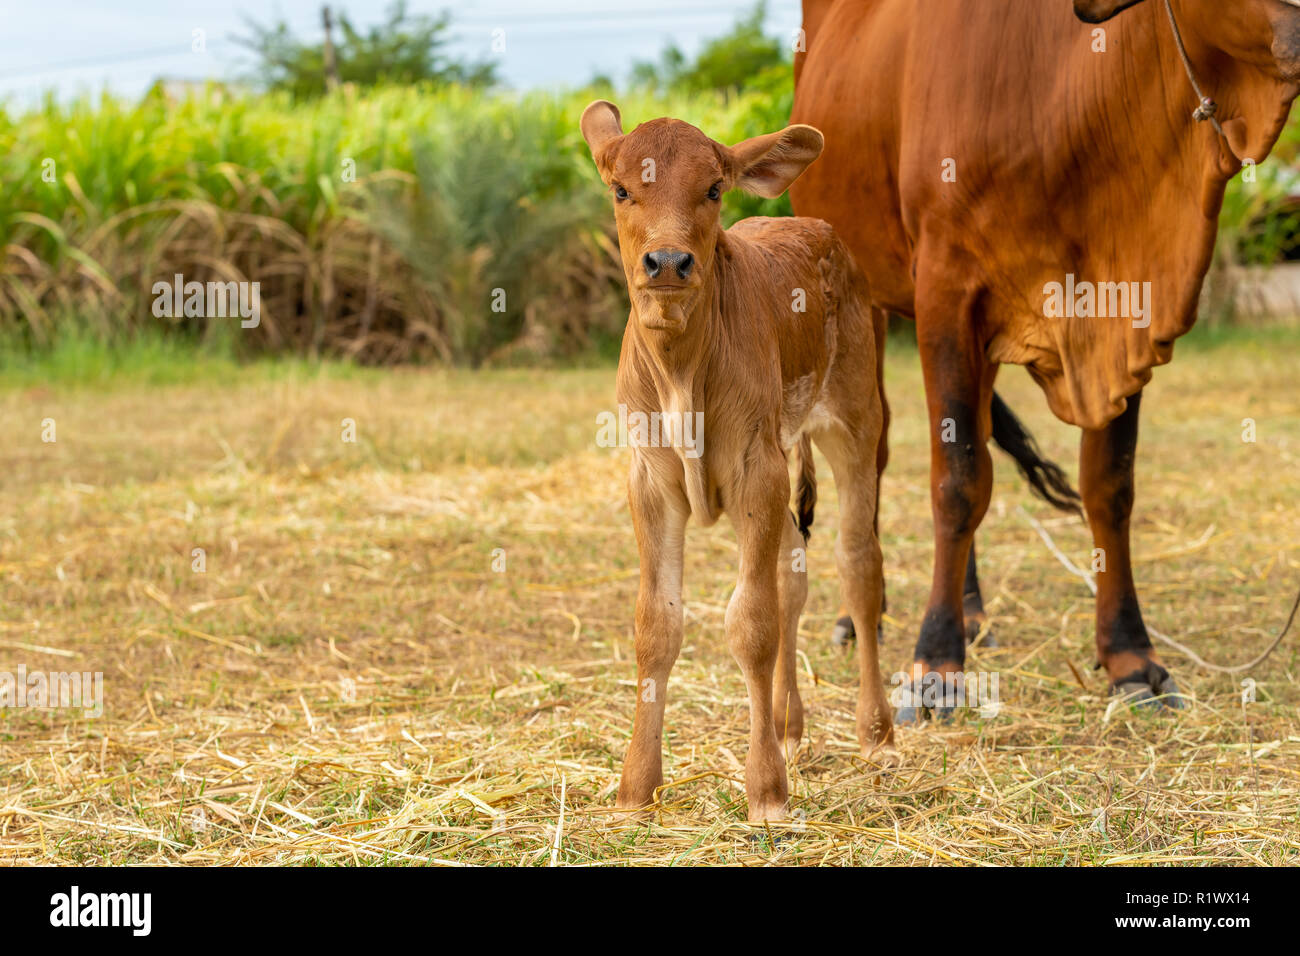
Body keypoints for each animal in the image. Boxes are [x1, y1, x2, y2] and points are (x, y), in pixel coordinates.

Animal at [580, 100, 895, 822]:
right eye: (621, 190)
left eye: (713, 189)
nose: (668, 261)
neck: (681, 368)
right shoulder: (651, 479)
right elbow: (657, 623)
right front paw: (636, 786)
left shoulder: (757, 469)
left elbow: (751, 623)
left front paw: (766, 790)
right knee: (793, 577)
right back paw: (788, 726)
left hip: (856, 423)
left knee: (859, 566)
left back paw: (877, 733)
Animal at [789, 0, 1300, 717]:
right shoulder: (946, 292)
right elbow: (957, 482)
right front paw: (936, 663)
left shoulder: (1123, 313)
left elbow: (1108, 486)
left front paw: (1131, 658)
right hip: (867, 299)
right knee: (883, 449)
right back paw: (863, 617)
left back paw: (974, 611)